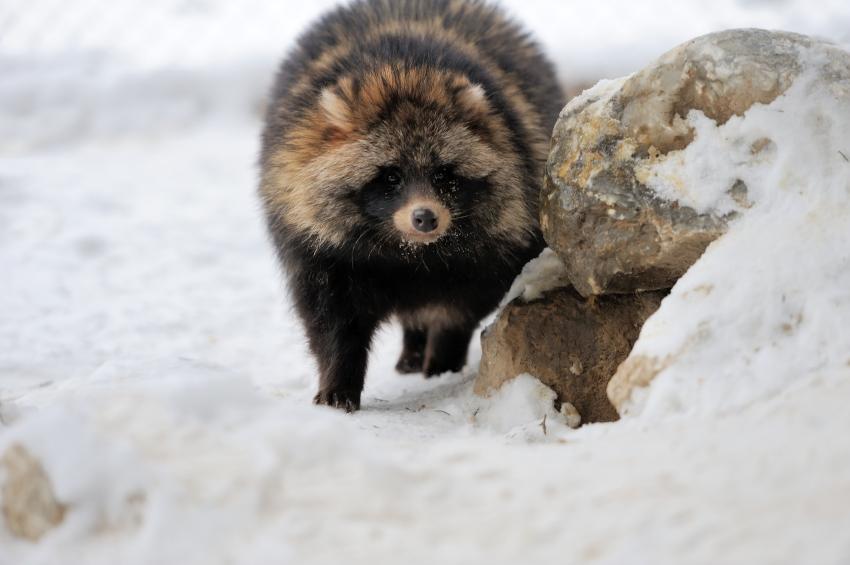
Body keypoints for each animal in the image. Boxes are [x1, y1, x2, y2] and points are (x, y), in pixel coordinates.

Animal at [259, 0, 564, 411]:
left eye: (443, 174)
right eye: (391, 176)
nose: (425, 217)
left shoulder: (496, 244)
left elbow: (459, 307)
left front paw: (444, 357)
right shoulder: (318, 248)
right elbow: (332, 320)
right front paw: (338, 379)